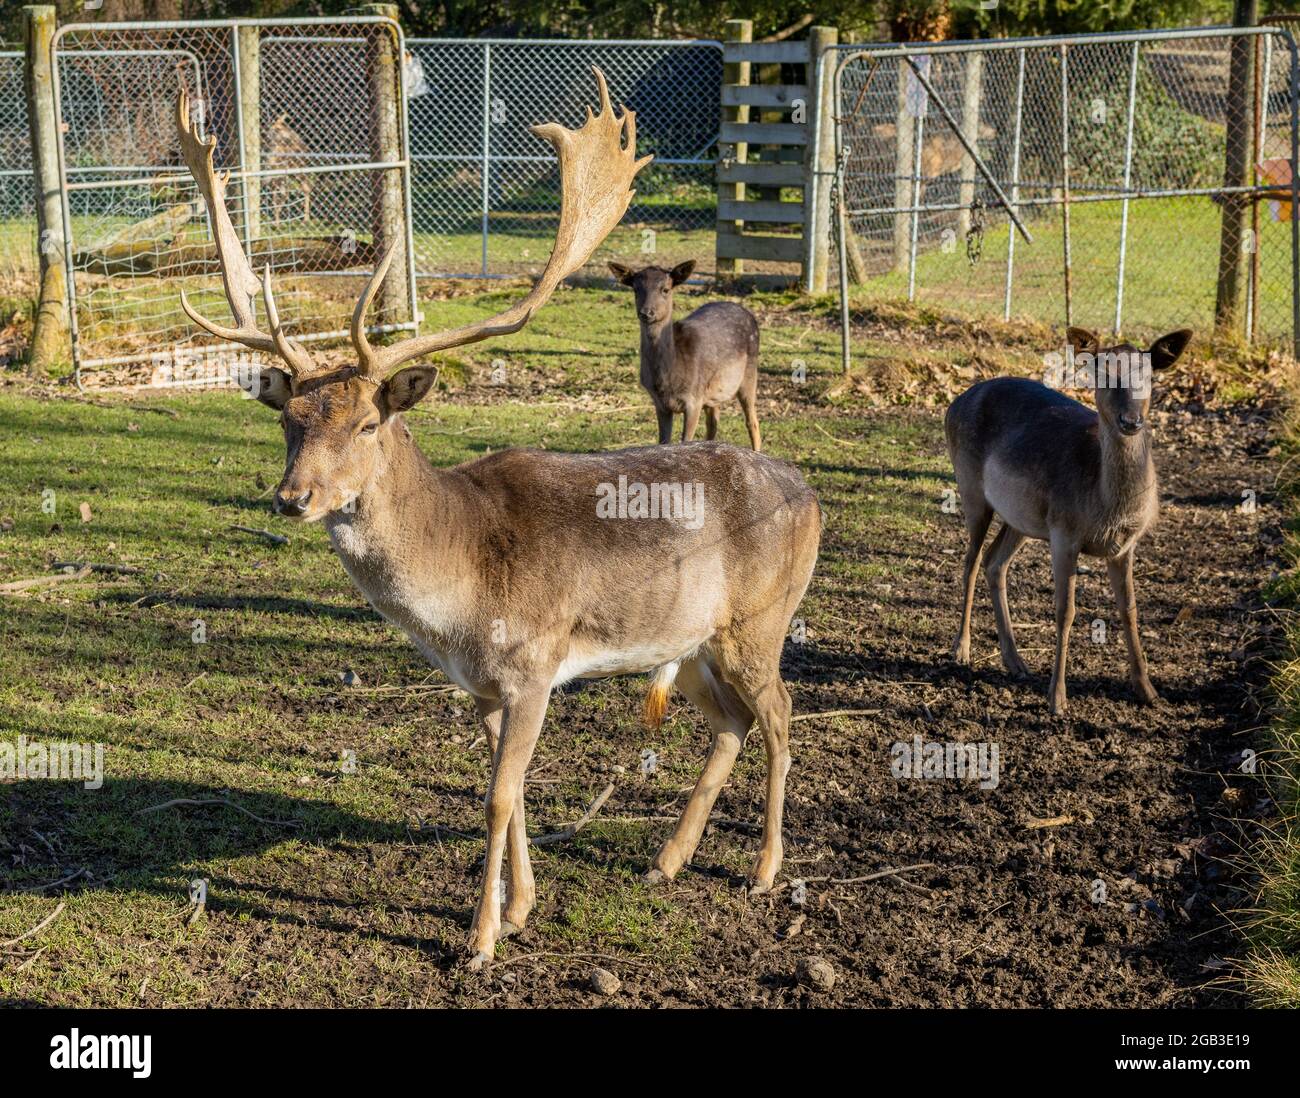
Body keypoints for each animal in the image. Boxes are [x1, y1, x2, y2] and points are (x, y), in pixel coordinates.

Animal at [607, 260, 762, 450]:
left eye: (665, 289)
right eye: (635, 289)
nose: (646, 312)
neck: (667, 381)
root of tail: (749, 314)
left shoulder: (693, 399)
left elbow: (686, 441)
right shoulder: (660, 404)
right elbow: (663, 441)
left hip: (749, 373)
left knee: (752, 422)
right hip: (712, 392)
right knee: (713, 423)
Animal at [945, 326, 1192, 716]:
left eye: (1149, 373)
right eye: (1103, 372)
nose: (1131, 421)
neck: (1106, 504)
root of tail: (954, 402)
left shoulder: (1126, 546)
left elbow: (1130, 609)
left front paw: (1149, 691)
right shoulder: (1064, 533)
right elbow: (1066, 611)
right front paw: (1057, 699)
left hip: (1024, 519)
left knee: (994, 562)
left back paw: (1015, 661)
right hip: (972, 490)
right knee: (970, 560)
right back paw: (962, 649)